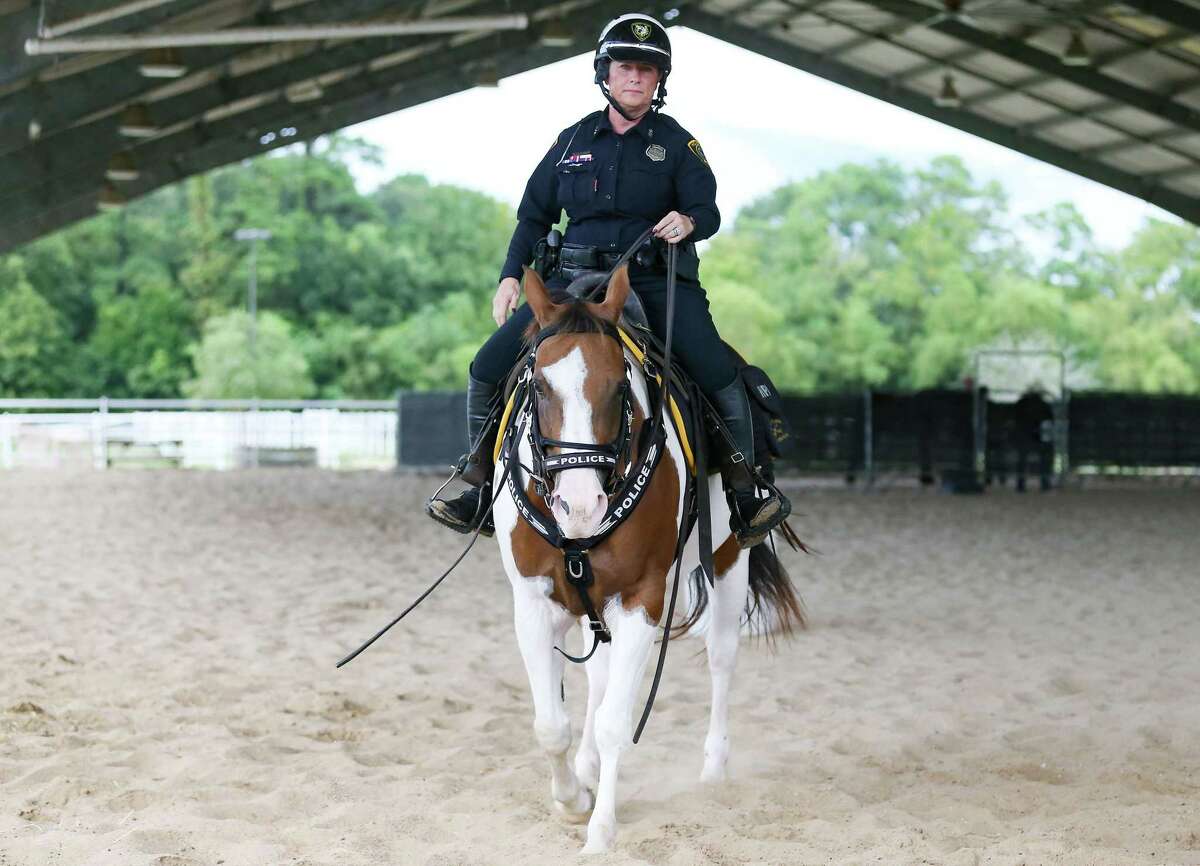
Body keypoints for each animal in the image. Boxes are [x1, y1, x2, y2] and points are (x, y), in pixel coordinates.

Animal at [491, 263, 805, 854]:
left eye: (619, 387)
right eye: (538, 386)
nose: (581, 506)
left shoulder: (642, 597)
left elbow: (617, 722)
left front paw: (600, 832)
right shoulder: (535, 602)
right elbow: (551, 724)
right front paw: (572, 801)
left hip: (729, 561)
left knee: (721, 658)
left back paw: (713, 771)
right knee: (598, 677)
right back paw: (588, 768)